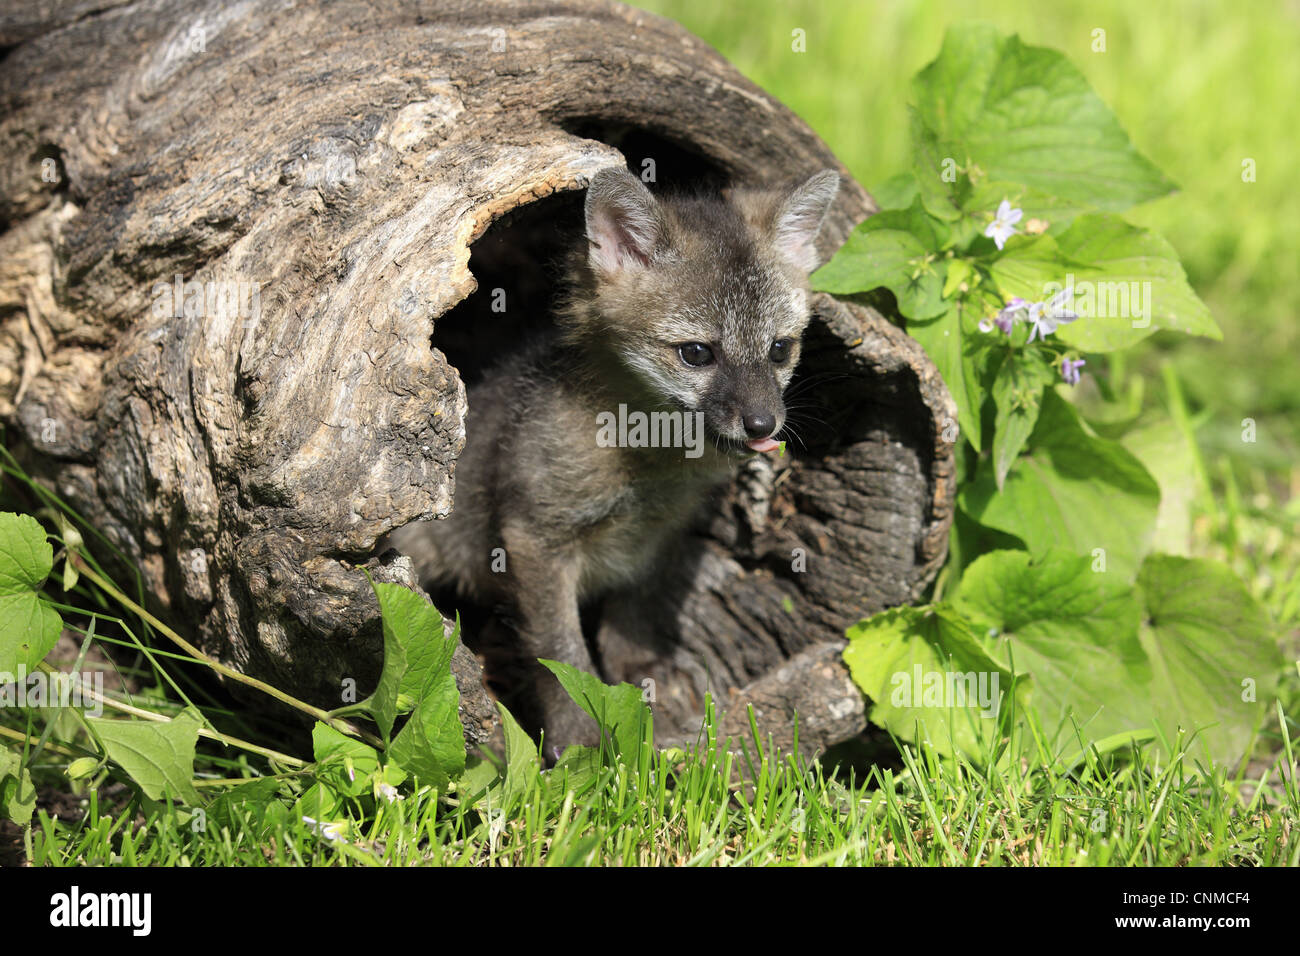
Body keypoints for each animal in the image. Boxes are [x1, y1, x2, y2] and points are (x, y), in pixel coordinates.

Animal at [386, 165, 840, 754]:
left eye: (780, 349)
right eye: (697, 353)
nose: (763, 424)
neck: (645, 469)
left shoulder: (657, 535)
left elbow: (635, 613)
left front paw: (645, 673)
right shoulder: (535, 538)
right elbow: (560, 652)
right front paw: (579, 739)